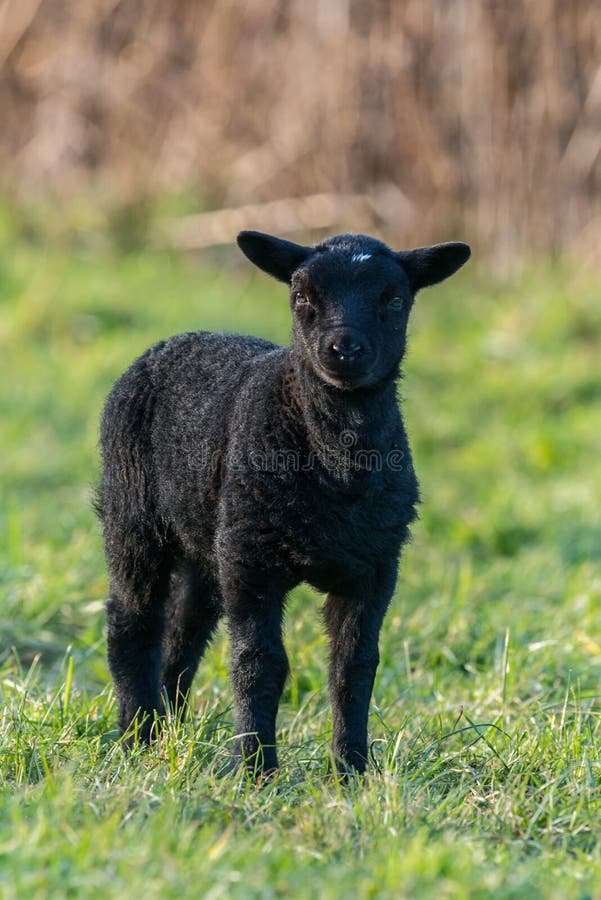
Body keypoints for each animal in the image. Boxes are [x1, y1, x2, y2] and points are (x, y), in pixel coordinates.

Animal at [98, 230, 470, 775]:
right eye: (301, 297)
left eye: (395, 300)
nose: (345, 349)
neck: (337, 468)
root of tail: (177, 339)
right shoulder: (252, 560)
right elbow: (259, 662)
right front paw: (255, 768)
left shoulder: (376, 564)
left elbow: (354, 665)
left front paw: (351, 770)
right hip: (135, 515)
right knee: (132, 622)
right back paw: (136, 739)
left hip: (210, 544)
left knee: (183, 634)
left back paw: (168, 731)